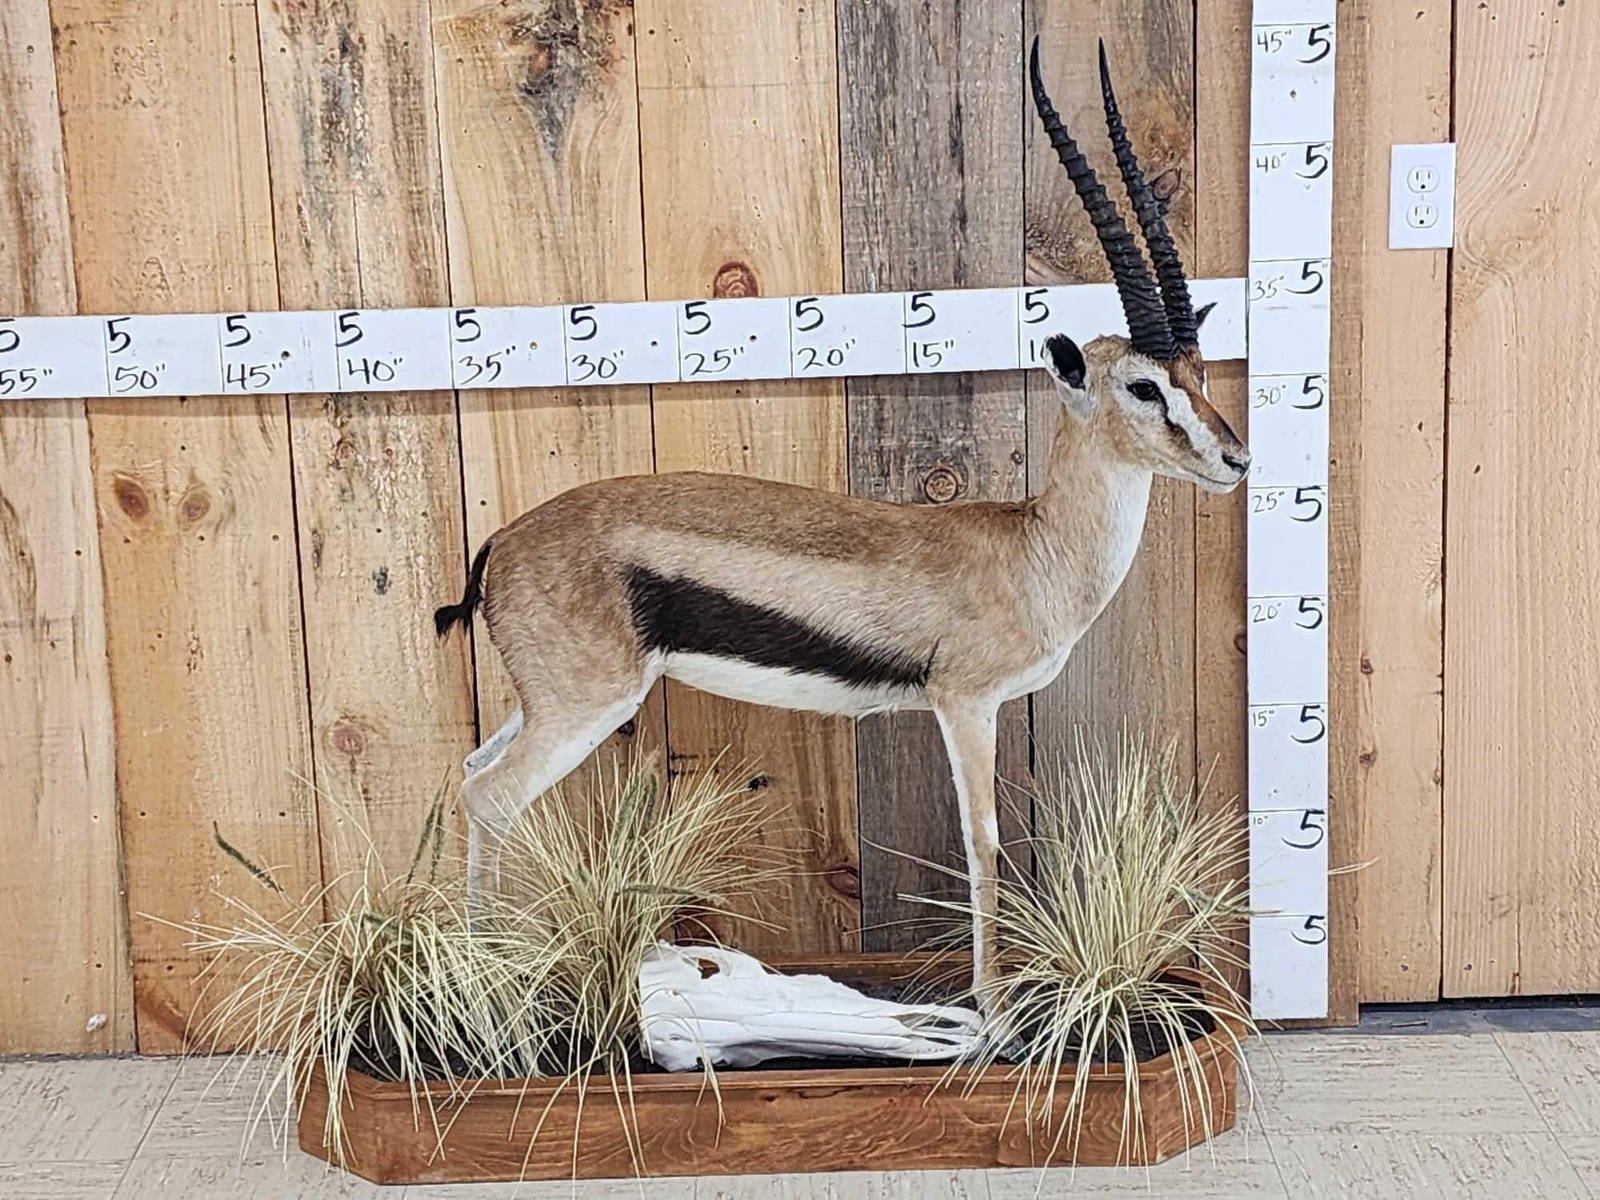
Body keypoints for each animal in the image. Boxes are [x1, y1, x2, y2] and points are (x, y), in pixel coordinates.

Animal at [434, 39, 1249, 1001]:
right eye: (1143, 386)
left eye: (1198, 371)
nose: (1236, 460)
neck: (1032, 549)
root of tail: (500, 541)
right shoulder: (964, 702)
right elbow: (983, 849)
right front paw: (992, 1010)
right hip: (585, 703)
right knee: (491, 795)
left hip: (545, 700)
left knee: (470, 774)